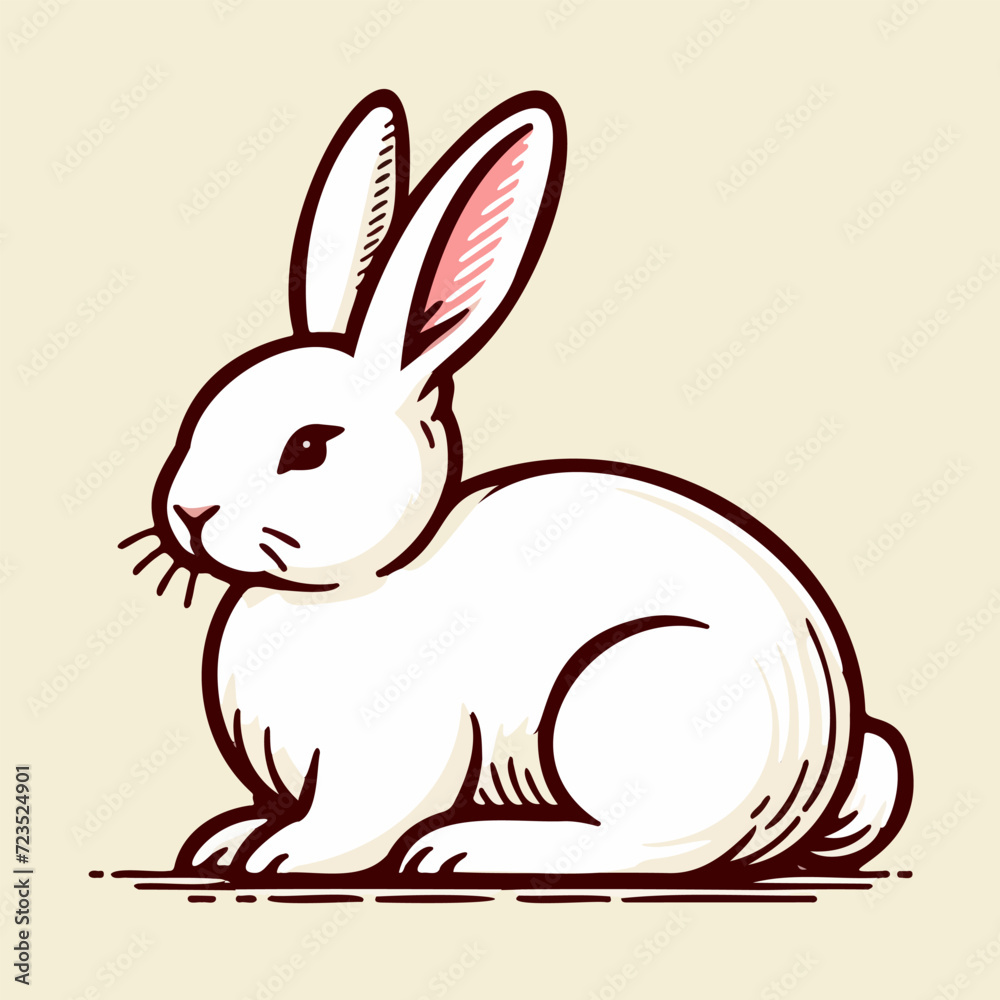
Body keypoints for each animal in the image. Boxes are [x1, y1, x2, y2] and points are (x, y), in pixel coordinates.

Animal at [123, 90, 912, 881]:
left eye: (309, 446)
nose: (189, 512)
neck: (350, 586)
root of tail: (818, 764)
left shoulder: (391, 758)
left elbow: (353, 825)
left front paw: (277, 854)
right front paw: (225, 841)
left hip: (626, 699)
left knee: (640, 846)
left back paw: (462, 848)